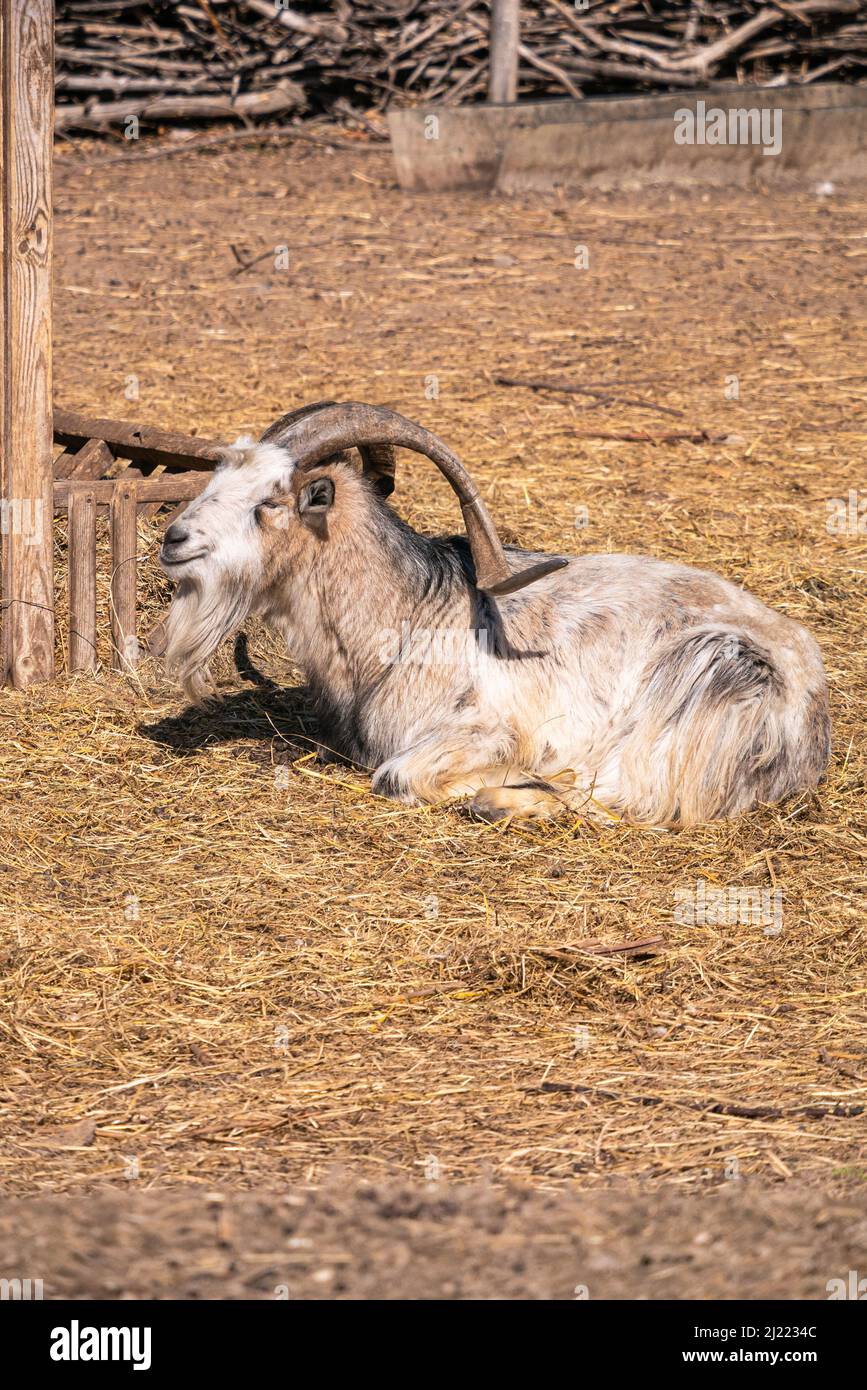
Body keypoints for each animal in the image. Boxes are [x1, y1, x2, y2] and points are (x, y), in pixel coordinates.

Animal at [160, 401, 830, 826]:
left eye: (270, 501)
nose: (174, 538)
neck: (412, 615)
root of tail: (810, 712)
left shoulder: (484, 729)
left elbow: (395, 776)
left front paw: (503, 781)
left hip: (702, 675)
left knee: (629, 797)